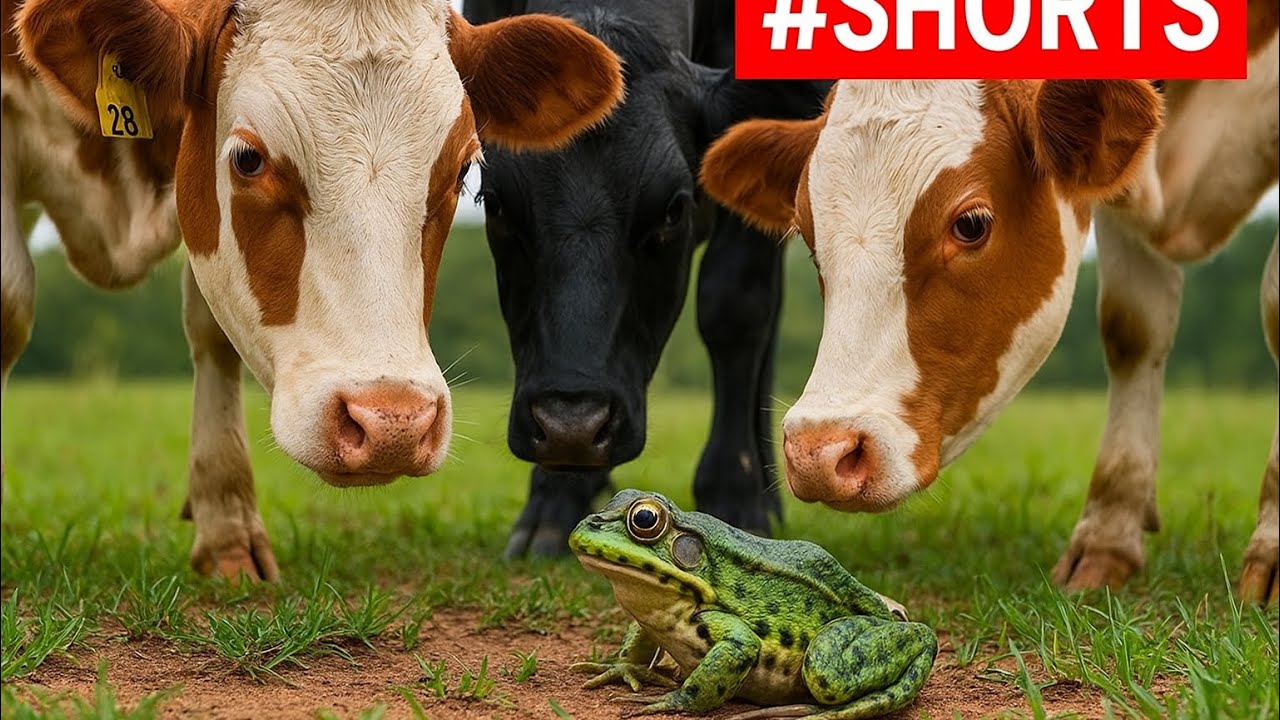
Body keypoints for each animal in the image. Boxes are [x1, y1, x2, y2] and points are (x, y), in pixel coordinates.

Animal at [4, 0, 624, 580]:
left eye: (461, 170)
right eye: (248, 159)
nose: (393, 424)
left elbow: (212, 329)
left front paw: (227, 528)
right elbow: (12, 299)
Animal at [462, 0, 830, 557]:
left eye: (673, 209)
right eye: (497, 203)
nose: (571, 426)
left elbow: (735, 307)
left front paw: (735, 501)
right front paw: (555, 502)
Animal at [699, 25, 1279, 604]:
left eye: (971, 224)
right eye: (806, 233)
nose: (818, 453)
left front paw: (1270, 546)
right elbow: (1132, 327)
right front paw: (1110, 533)